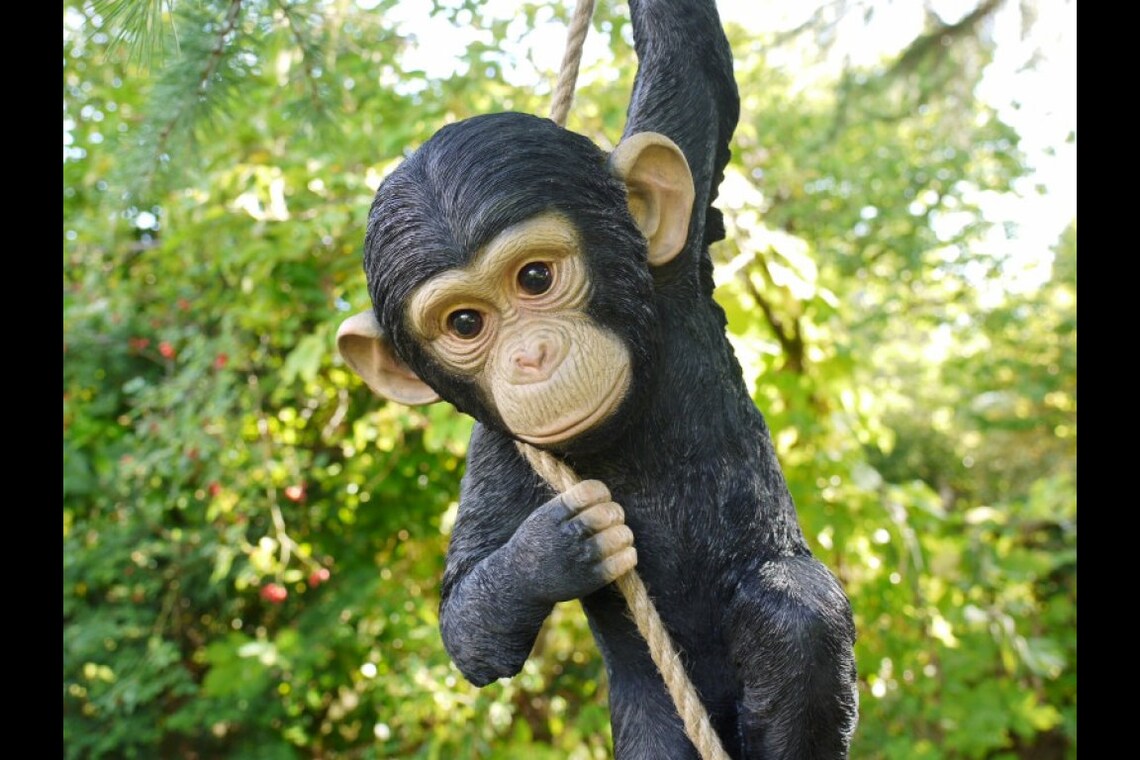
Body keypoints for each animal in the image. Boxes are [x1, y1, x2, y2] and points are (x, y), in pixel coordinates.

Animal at [336, 1, 859, 758]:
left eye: (535, 278)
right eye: (464, 323)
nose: (531, 356)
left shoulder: (677, 261)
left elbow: (691, 69)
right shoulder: (499, 454)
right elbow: (463, 624)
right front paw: (555, 548)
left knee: (796, 615)